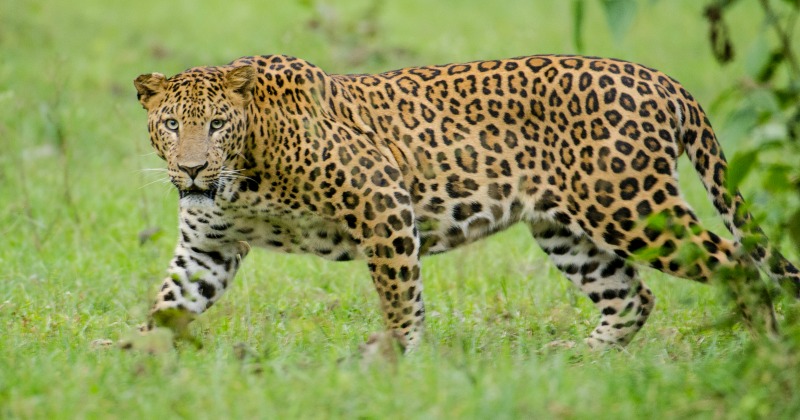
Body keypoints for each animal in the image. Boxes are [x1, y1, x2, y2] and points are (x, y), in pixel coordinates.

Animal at [134, 54, 800, 351]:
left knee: (738, 266)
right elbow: (170, 301)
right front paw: (130, 361)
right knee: (632, 295)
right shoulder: (208, 246)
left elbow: (399, 295)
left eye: (217, 124)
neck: (243, 175)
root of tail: (662, 79)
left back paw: (767, 351)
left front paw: (395, 359)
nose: (192, 168)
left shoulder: (382, 199)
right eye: (171, 125)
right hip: (566, 229)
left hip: (630, 206)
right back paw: (579, 359)